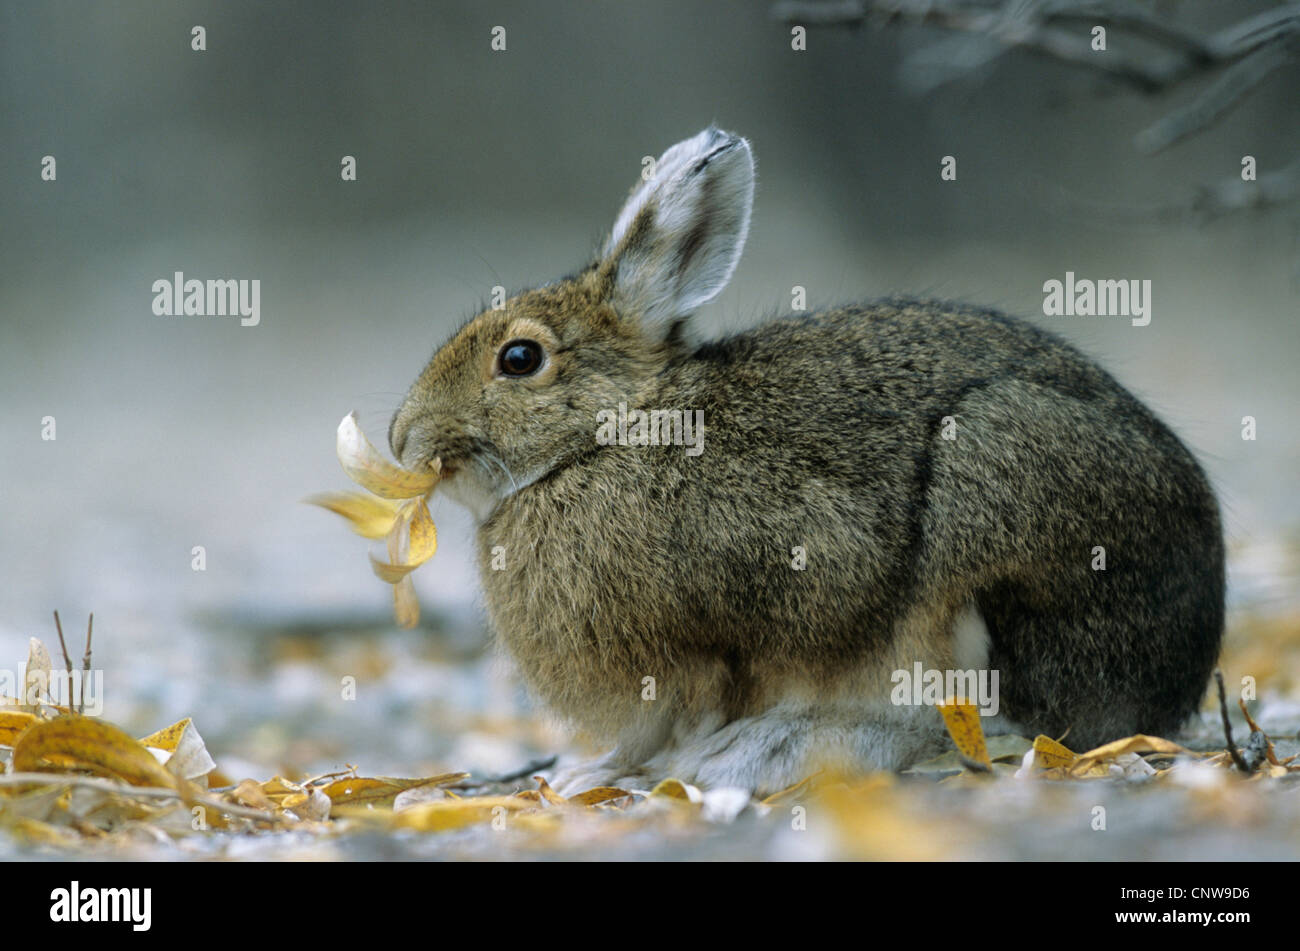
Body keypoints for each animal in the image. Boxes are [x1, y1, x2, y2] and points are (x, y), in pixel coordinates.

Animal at [387, 127, 1224, 795]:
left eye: (520, 358)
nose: (403, 439)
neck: (608, 432)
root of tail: (1183, 668)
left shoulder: (718, 634)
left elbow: (663, 723)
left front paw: (594, 775)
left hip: (991, 494)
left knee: (993, 727)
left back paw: (767, 752)